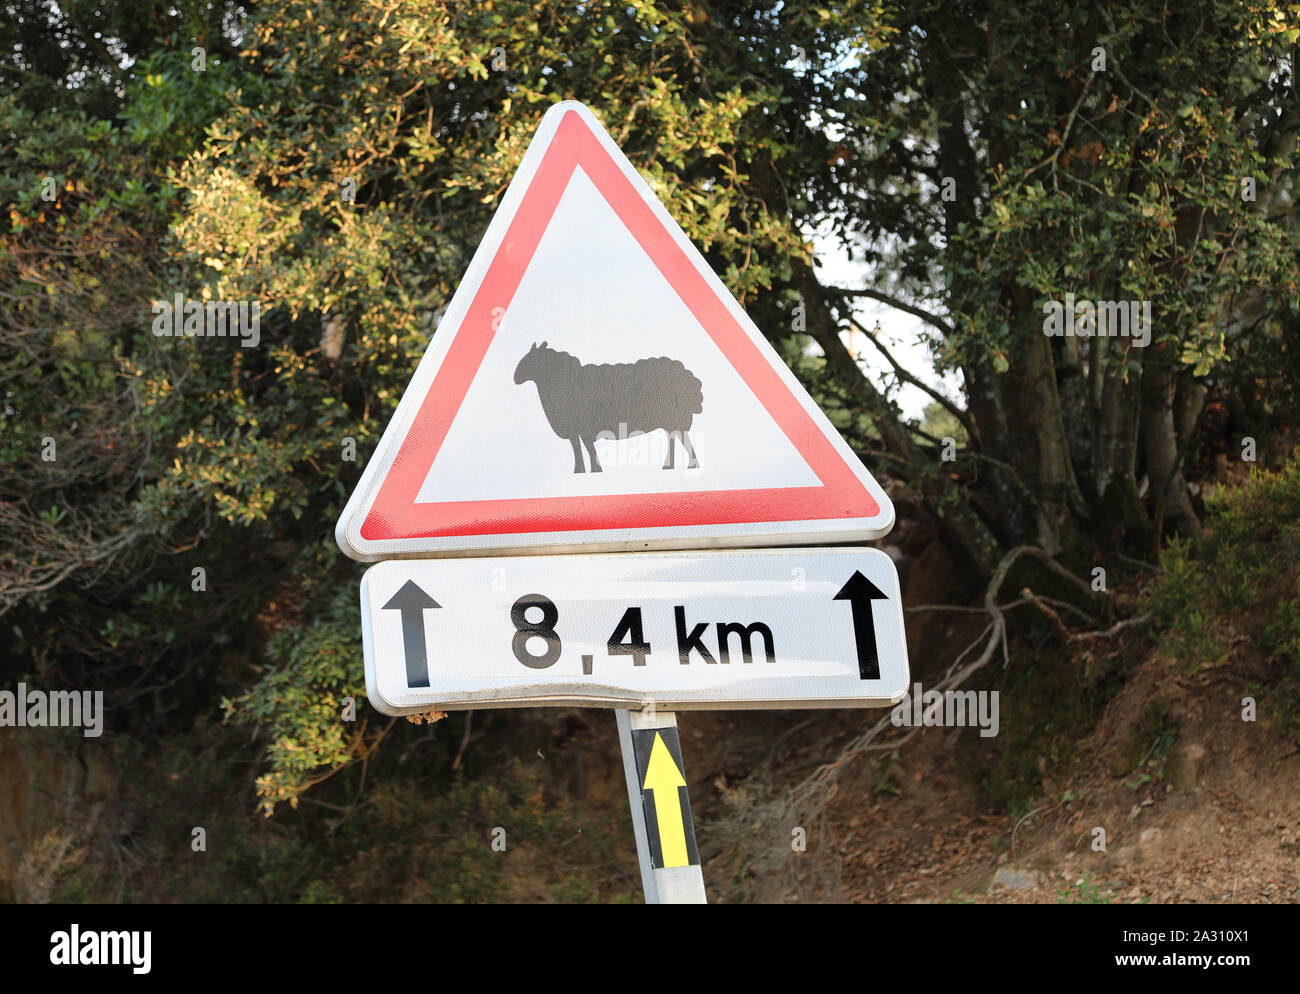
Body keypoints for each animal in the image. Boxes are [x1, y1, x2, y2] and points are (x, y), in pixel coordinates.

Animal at [513, 341, 703, 473]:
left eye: (532, 359)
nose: (515, 378)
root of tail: (687, 376)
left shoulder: (584, 428)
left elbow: (589, 449)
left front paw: (596, 470)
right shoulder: (574, 430)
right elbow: (577, 450)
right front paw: (580, 471)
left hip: (675, 420)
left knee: (681, 439)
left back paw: (687, 466)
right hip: (671, 422)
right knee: (674, 439)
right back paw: (670, 466)